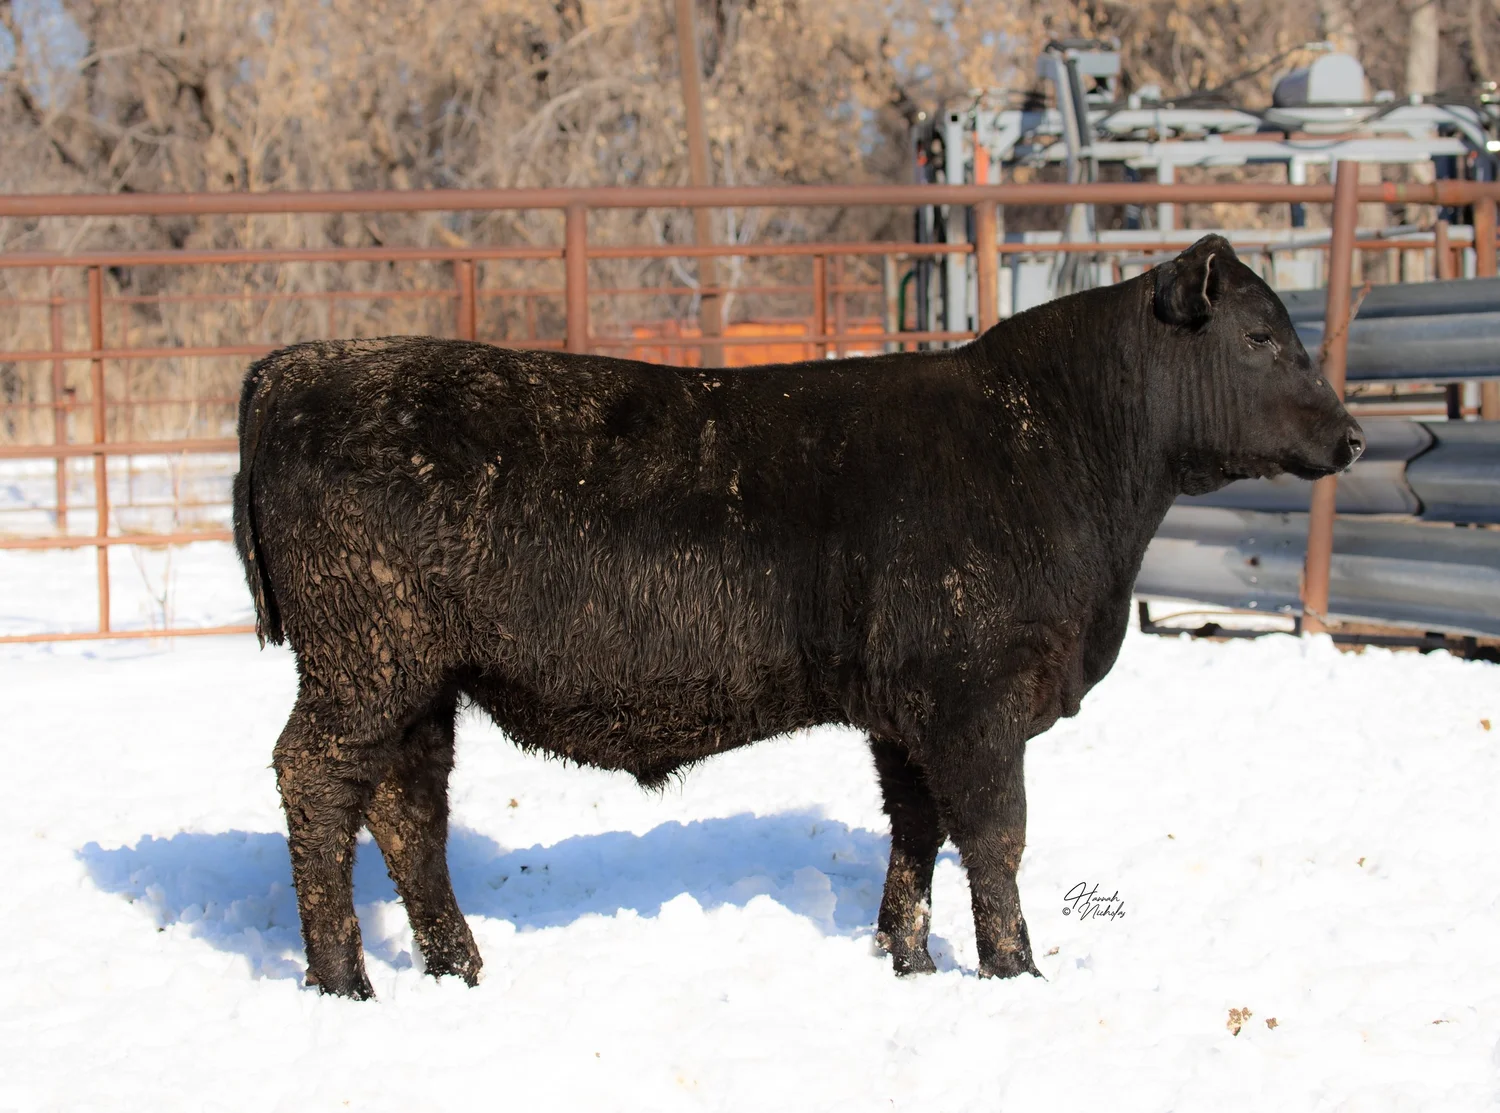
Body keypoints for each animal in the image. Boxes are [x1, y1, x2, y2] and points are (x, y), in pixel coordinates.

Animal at [232, 234, 1363, 999]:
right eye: (1263, 336)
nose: (1352, 436)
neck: (1058, 451)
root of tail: (302, 362)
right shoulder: (973, 697)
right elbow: (995, 836)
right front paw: (1015, 973)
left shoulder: (908, 713)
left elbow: (918, 831)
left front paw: (907, 960)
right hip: (365, 661)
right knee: (315, 779)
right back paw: (343, 981)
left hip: (421, 681)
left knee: (407, 809)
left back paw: (458, 970)